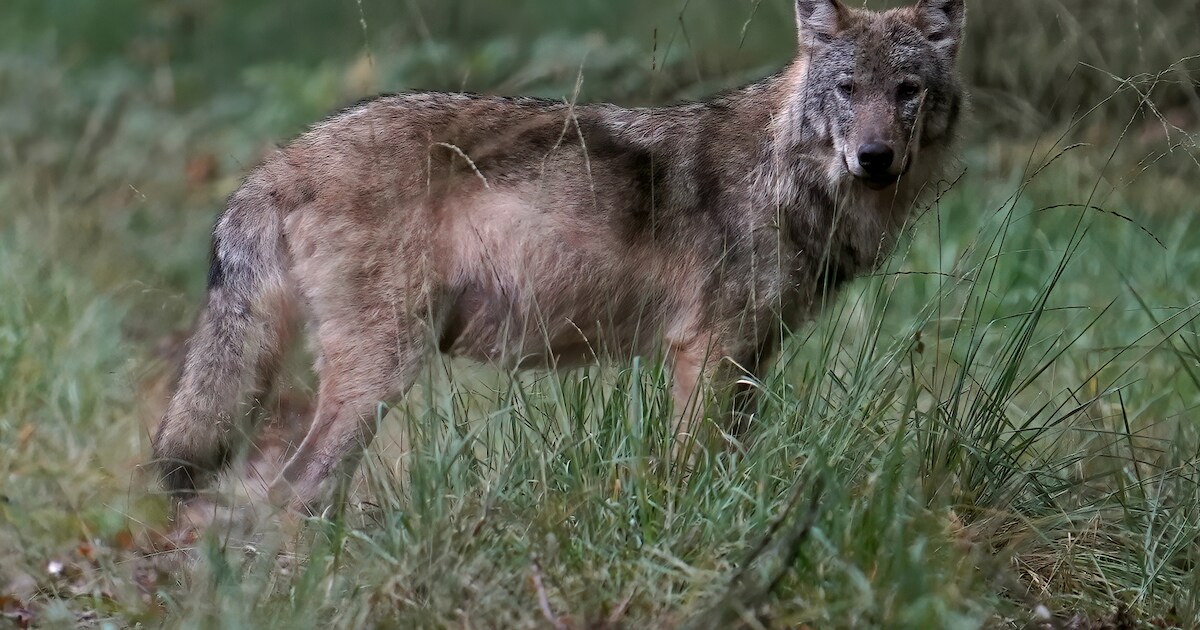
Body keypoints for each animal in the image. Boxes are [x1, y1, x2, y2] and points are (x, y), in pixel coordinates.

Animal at [153, 0, 966, 513]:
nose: (874, 158)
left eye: (907, 91)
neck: (786, 177)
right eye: (847, 88)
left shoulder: (750, 359)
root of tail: (280, 160)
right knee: (296, 489)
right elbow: (689, 472)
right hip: (383, 369)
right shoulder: (704, 350)